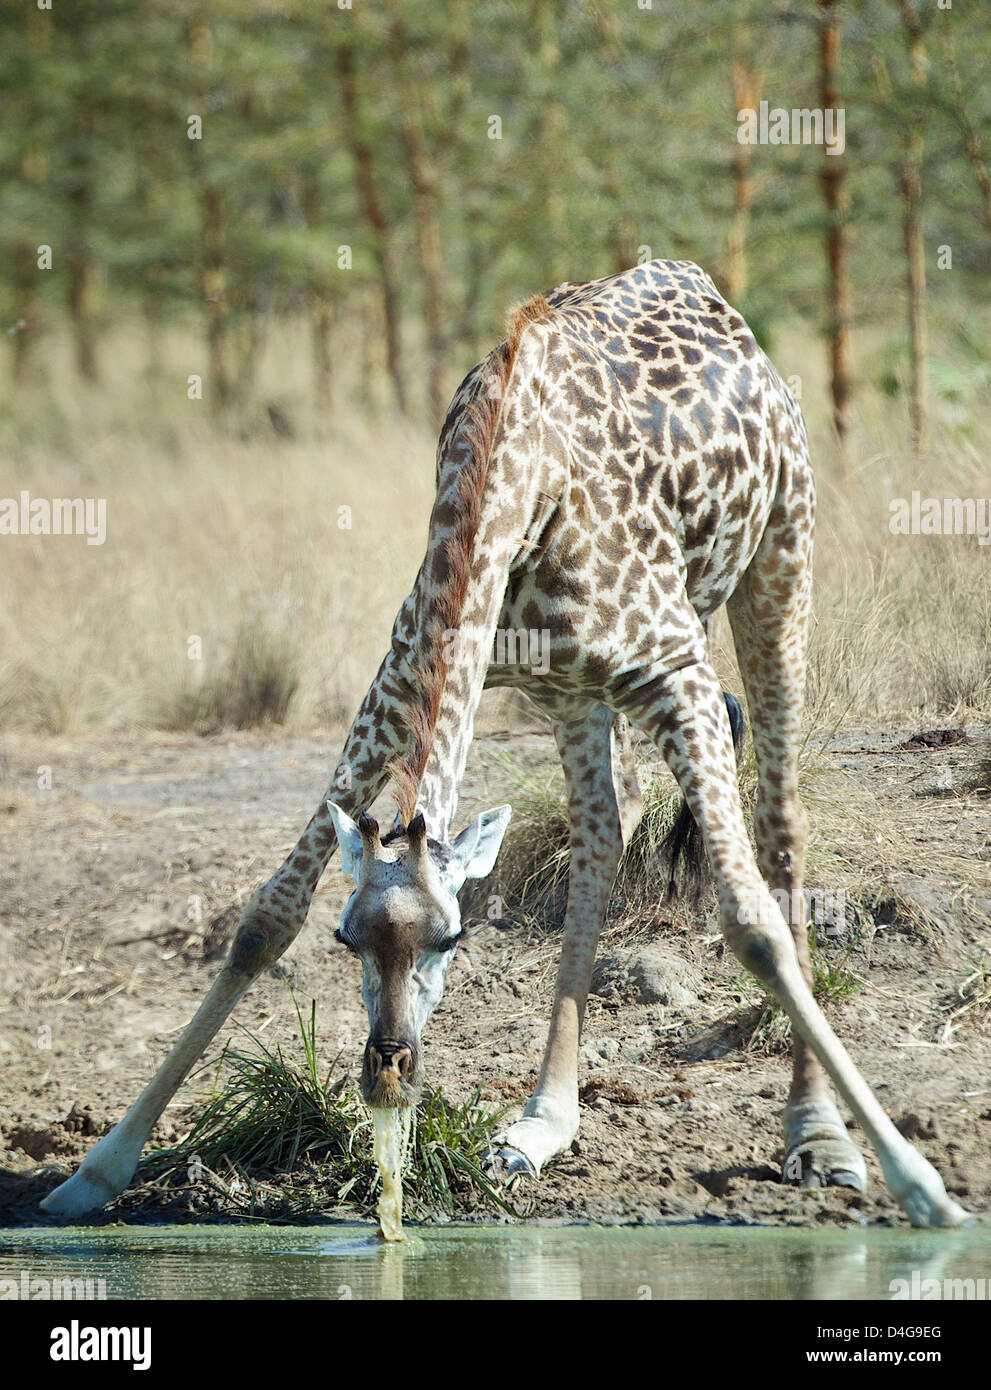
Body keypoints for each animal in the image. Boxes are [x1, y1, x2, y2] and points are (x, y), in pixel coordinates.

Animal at [42, 260, 968, 1227]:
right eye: (346, 940)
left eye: (452, 940)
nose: (388, 1077)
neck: (510, 480)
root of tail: (709, 295)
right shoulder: (400, 677)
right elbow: (263, 921)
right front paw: (94, 1171)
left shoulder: (675, 673)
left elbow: (750, 927)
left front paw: (922, 1186)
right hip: (576, 693)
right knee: (600, 838)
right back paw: (539, 1126)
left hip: (781, 561)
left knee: (779, 829)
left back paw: (817, 1139)